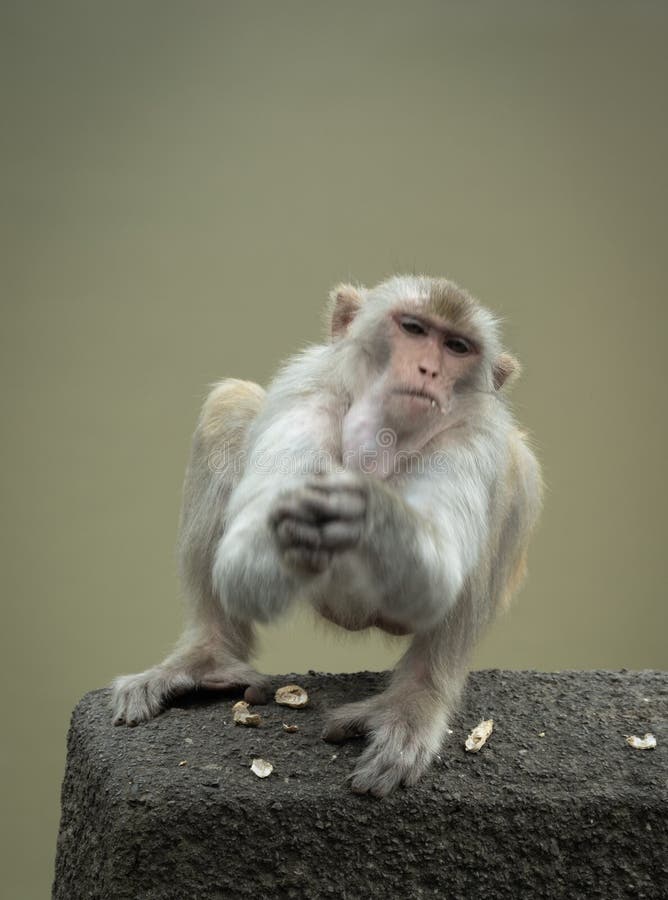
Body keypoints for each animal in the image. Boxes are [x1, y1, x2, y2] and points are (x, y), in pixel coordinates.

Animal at [111, 275, 542, 797]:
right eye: (414, 329)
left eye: (457, 347)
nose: (427, 369)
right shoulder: (308, 395)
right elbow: (240, 569)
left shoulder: (474, 438)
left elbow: (437, 583)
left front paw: (362, 507)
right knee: (228, 406)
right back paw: (205, 657)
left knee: (517, 470)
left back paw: (415, 701)